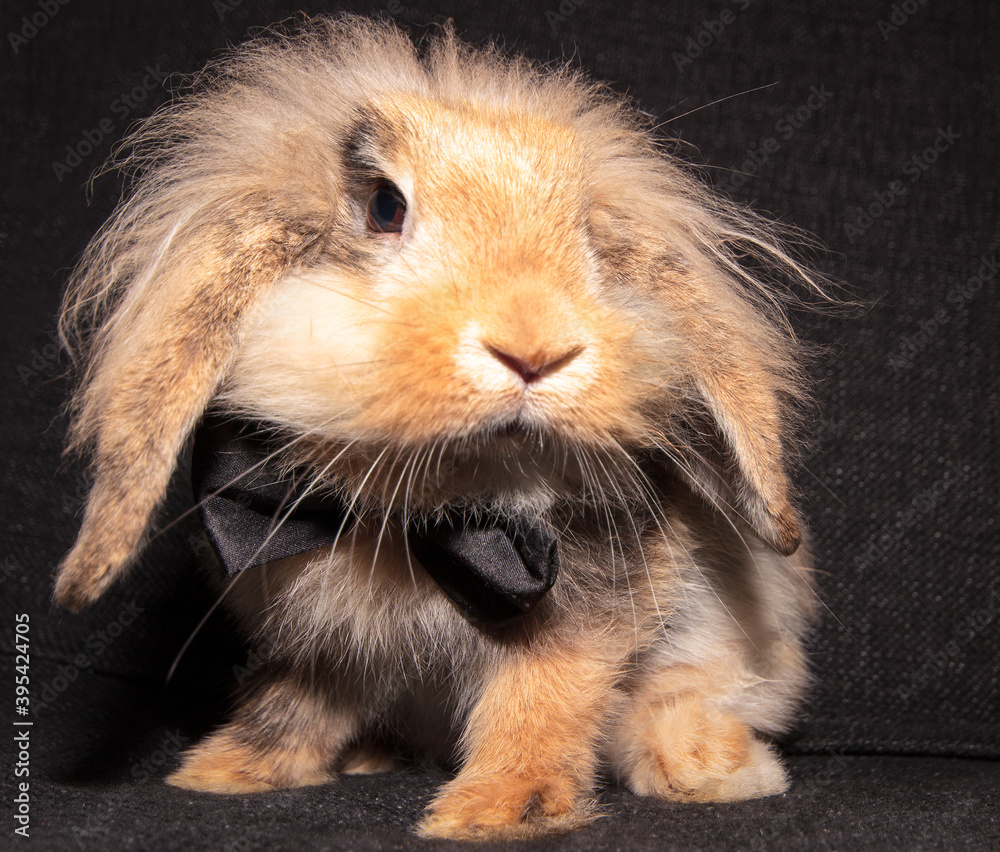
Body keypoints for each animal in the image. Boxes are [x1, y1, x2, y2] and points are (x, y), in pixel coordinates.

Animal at [54, 15, 821, 840]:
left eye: (586, 234)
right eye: (385, 207)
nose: (535, 348)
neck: (434, 511)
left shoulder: (584, 618)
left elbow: (541, 701)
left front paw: (497, 810)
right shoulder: (318, 640)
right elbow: (292, 699)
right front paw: (224, 773)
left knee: (679, 700)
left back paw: (710, 767)